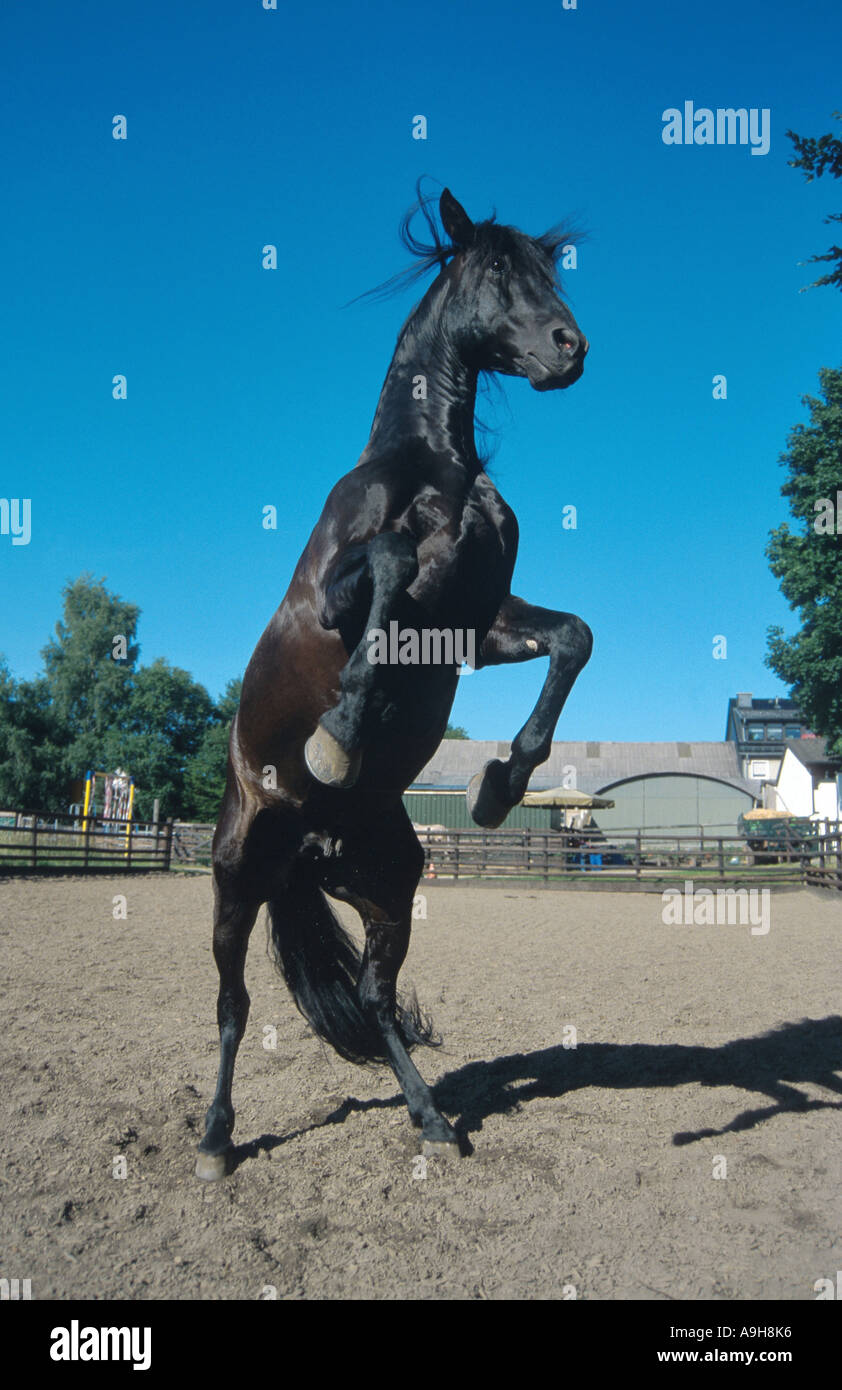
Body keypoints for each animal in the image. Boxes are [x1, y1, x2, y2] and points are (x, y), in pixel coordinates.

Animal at [196, 187, 593, 1180]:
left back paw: (432, 1118)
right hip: (233, 879)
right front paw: (339, 731)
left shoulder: (476, 623)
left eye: (551, 270)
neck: (436, 469)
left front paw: (502, 784)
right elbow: (387, 559)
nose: (571, 348)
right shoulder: (344, 595)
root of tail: (307, 844)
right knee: (232, 1006)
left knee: (375, 998)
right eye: (497, 272)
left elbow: (572, 638)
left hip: (391, 884)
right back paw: (215, 1139)